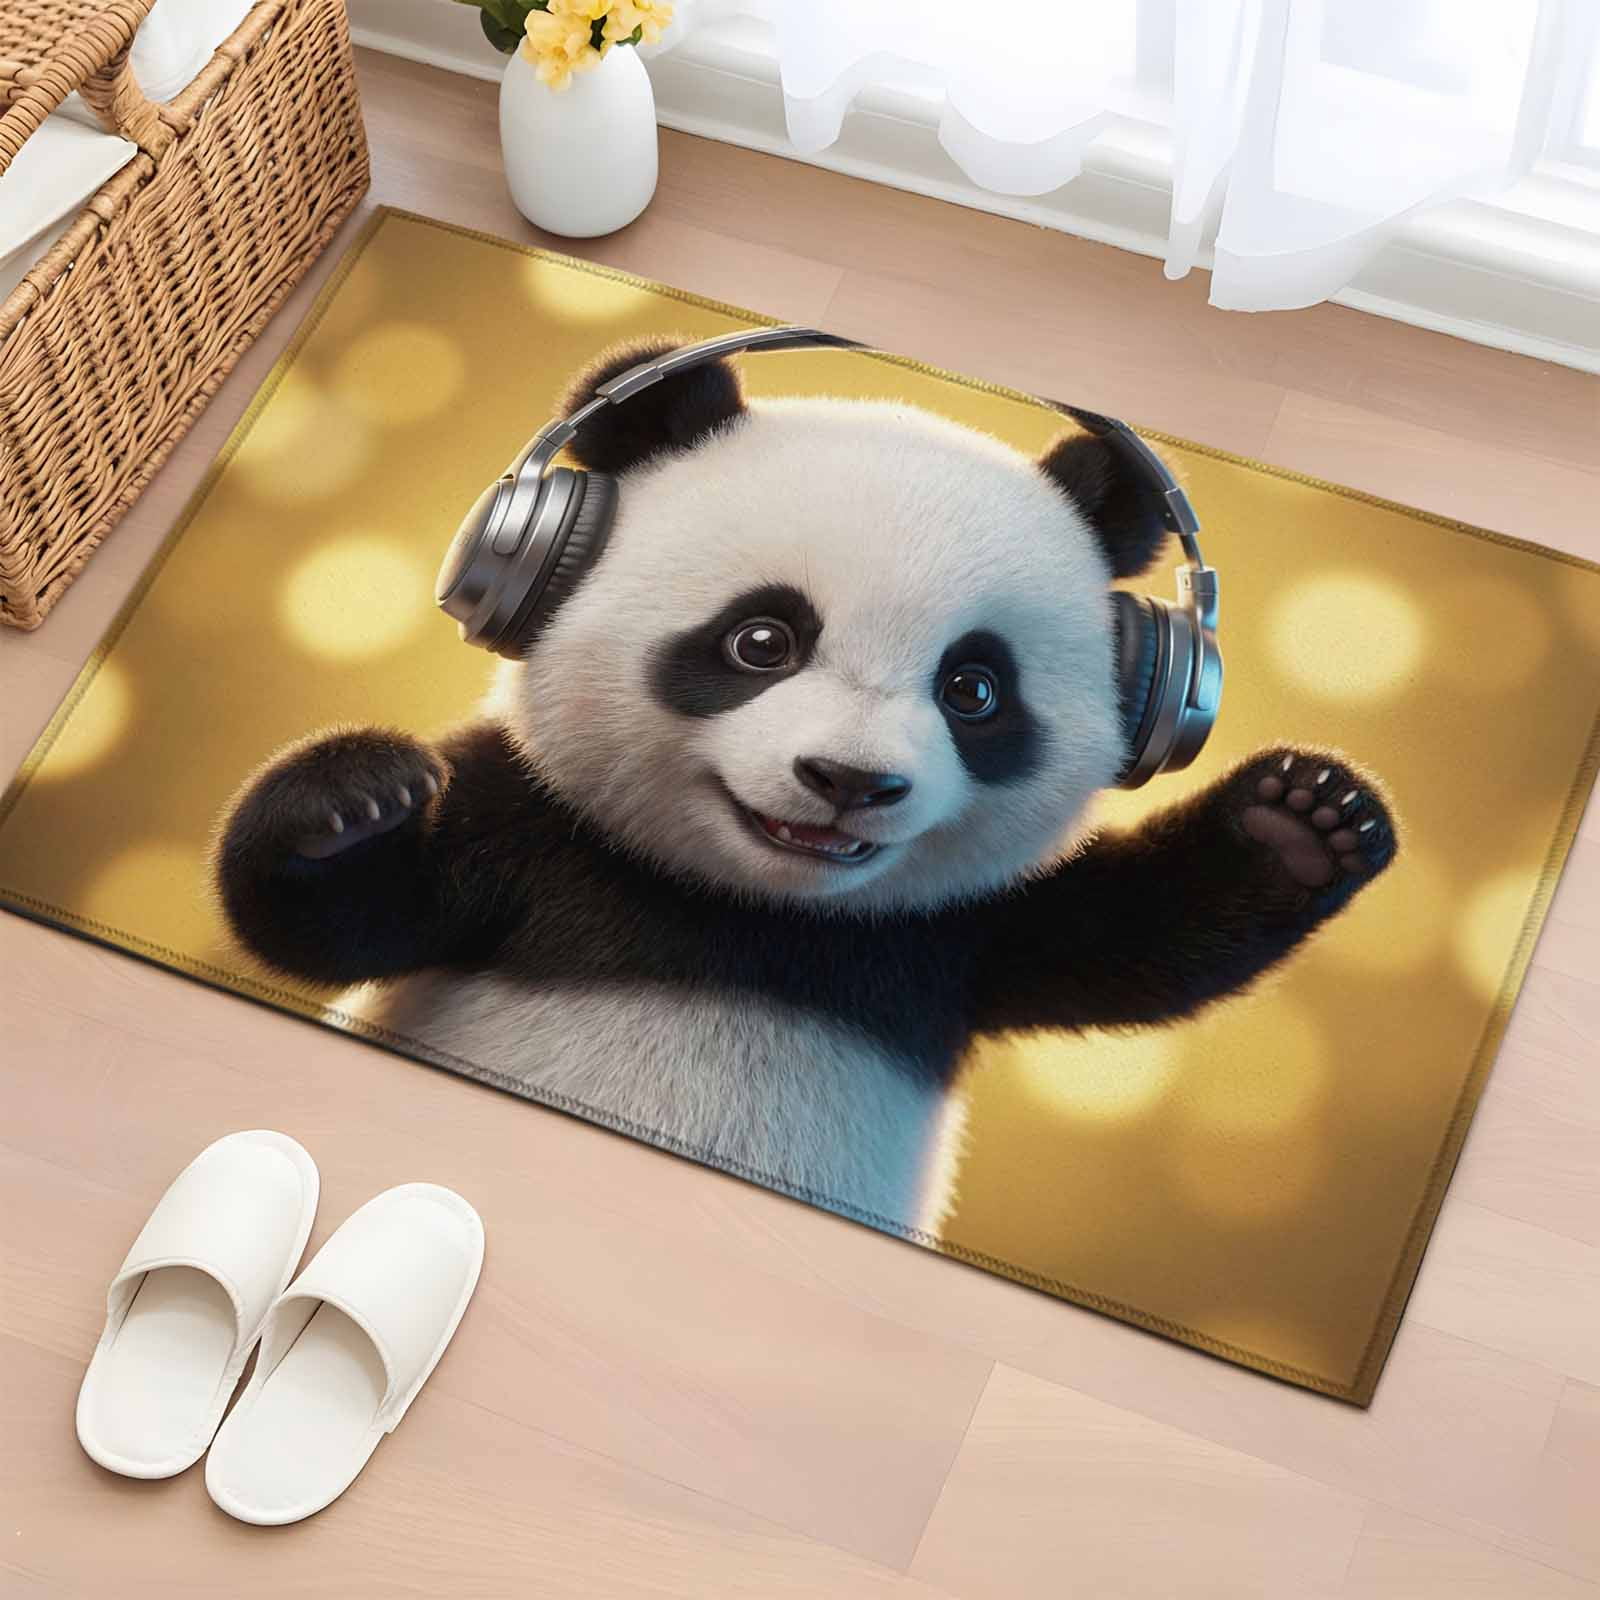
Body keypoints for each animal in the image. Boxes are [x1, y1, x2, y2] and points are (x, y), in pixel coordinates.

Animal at [215, 338, 1397, 1235]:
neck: (752, 911)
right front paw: (347, 802)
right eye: (762, 639)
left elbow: (1126, 945)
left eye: (974, 688)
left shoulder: (953, 935)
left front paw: (1303, 820)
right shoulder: (535, 833)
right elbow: (329, 926)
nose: (849, 780)